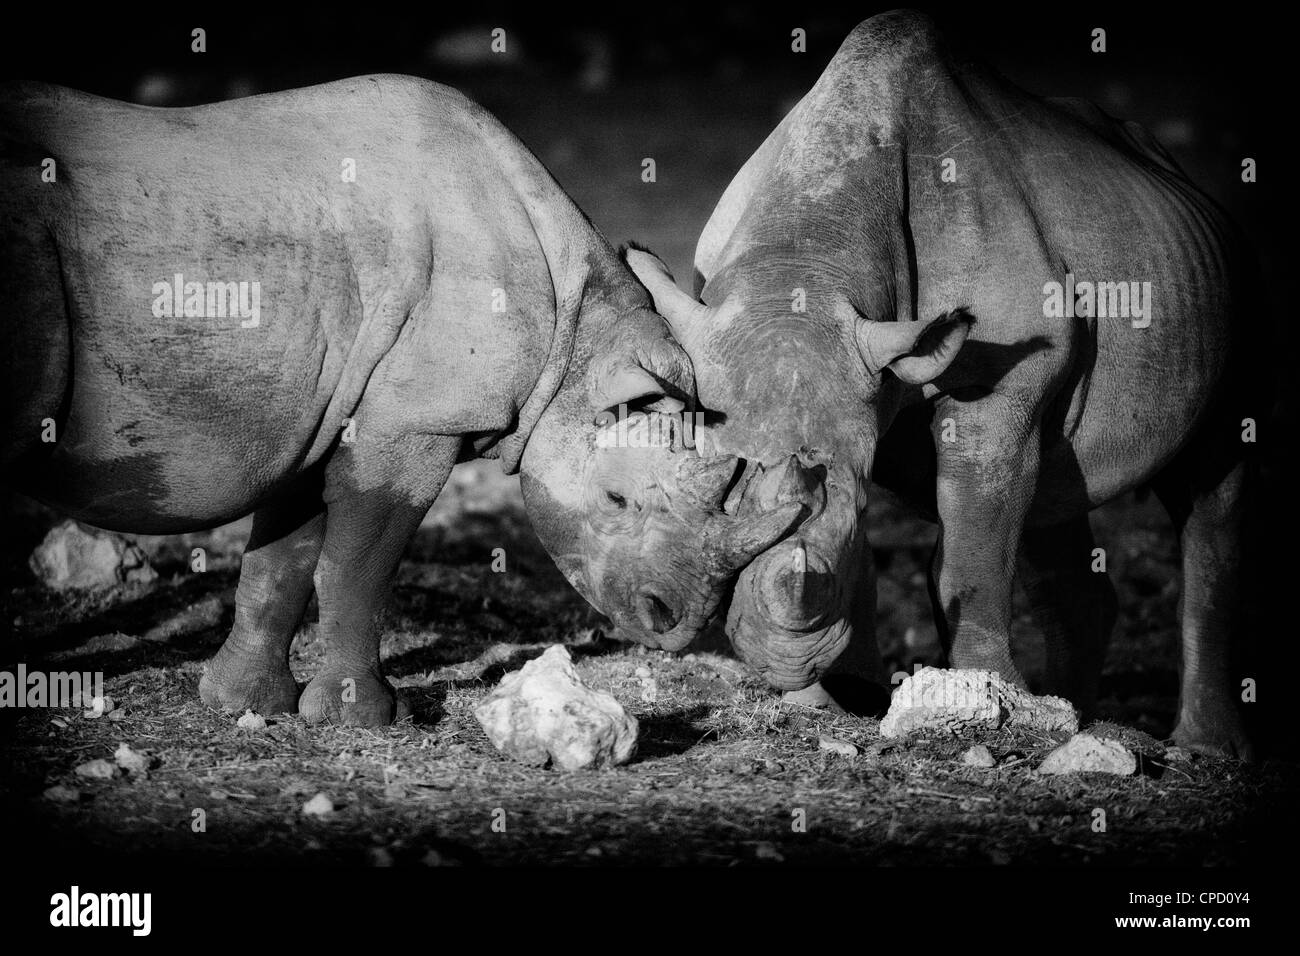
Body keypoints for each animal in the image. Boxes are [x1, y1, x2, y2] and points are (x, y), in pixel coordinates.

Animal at [0, 75, 806, 725]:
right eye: (616, 501)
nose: (672, 624)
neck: (576, 337)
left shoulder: (320, 404)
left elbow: (281, 562)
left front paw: (245, 705)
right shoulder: (412, 420)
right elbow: (360, 566)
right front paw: (368, 718)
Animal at [627, 11, 1259, 756]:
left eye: (859, 504)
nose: (781, 660)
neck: (805, 263)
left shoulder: (995, 392)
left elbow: (969, 547)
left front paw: (986, 699)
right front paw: (823, 704)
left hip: (1234, 277)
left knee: (1212, 479)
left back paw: (1202, 746)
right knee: (1055, 495)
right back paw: (1075, 716)